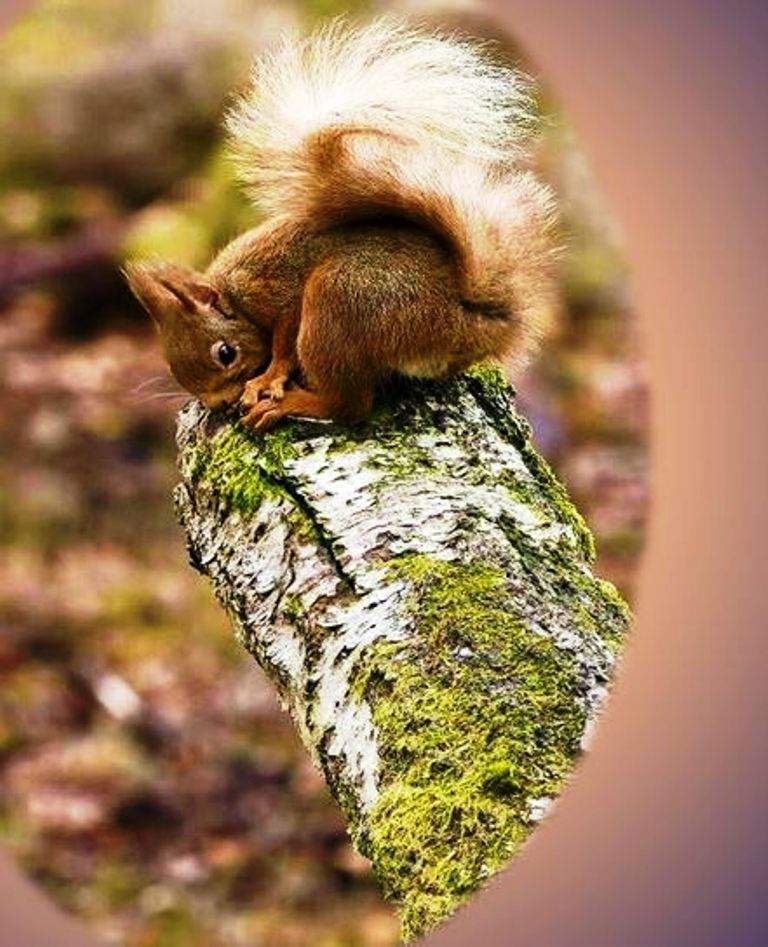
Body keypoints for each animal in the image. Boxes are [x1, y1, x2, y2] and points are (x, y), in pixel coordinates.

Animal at [125, 17, 557, 431]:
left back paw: (292, 404)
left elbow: (283, 342)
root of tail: (462, 321)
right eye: (174, 370)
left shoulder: (274, 294)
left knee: (350, 406)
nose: (221, 404)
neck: (232, 295)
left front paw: (268, 378)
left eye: (225, 353)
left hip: (339, 302)